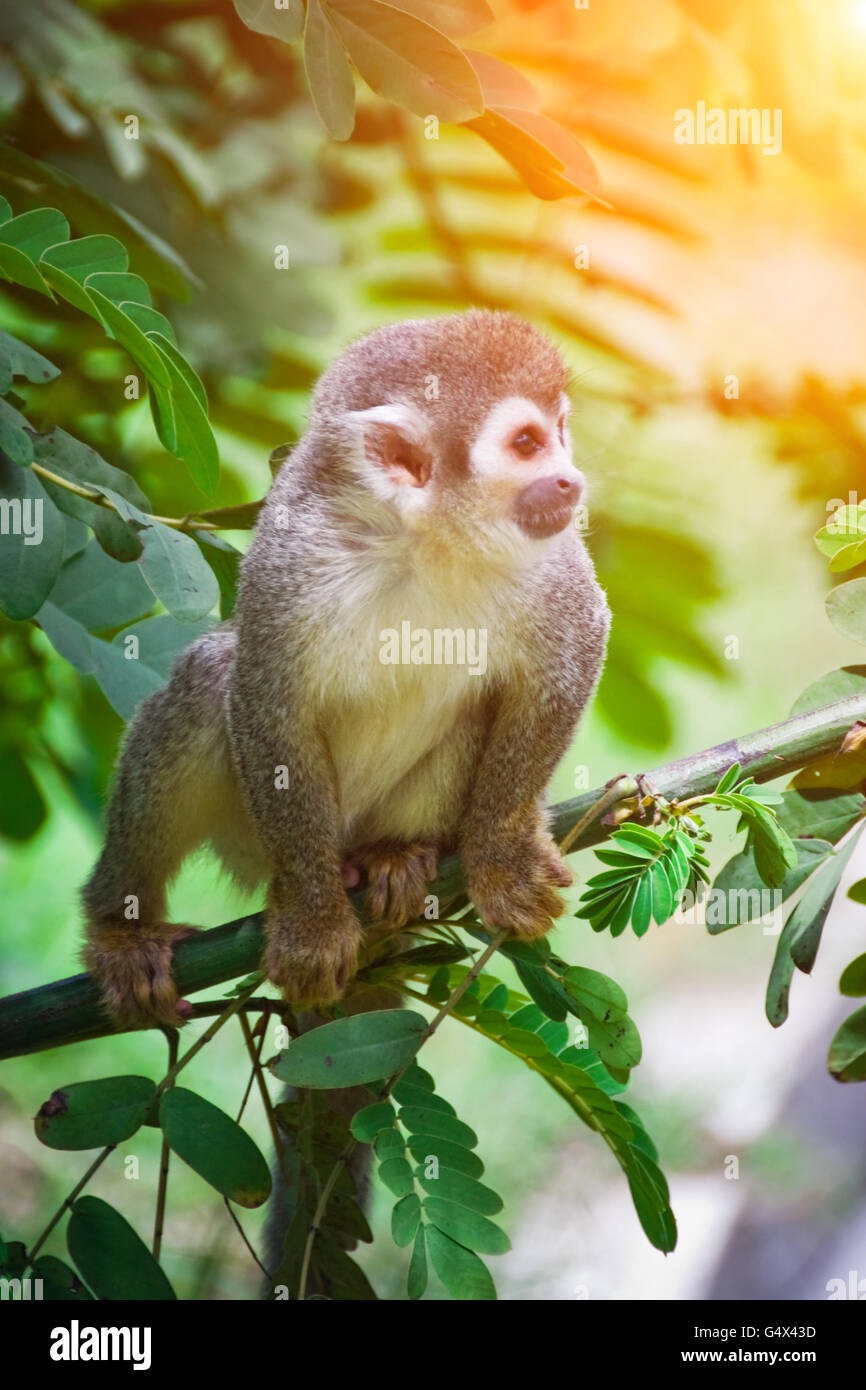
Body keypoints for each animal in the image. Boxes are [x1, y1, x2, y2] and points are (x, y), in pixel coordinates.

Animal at [81, 309, 611, 1028]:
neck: (426, 540)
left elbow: (570, 658)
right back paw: (122, 924)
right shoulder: (291, 554)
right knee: (209, 679)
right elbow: (265, 701)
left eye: (559, 433)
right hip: (251, 838)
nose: (569, 479)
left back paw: (390, 853)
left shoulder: (552, 558)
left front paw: (503, 851)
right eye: (527, 444)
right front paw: (313, 919)